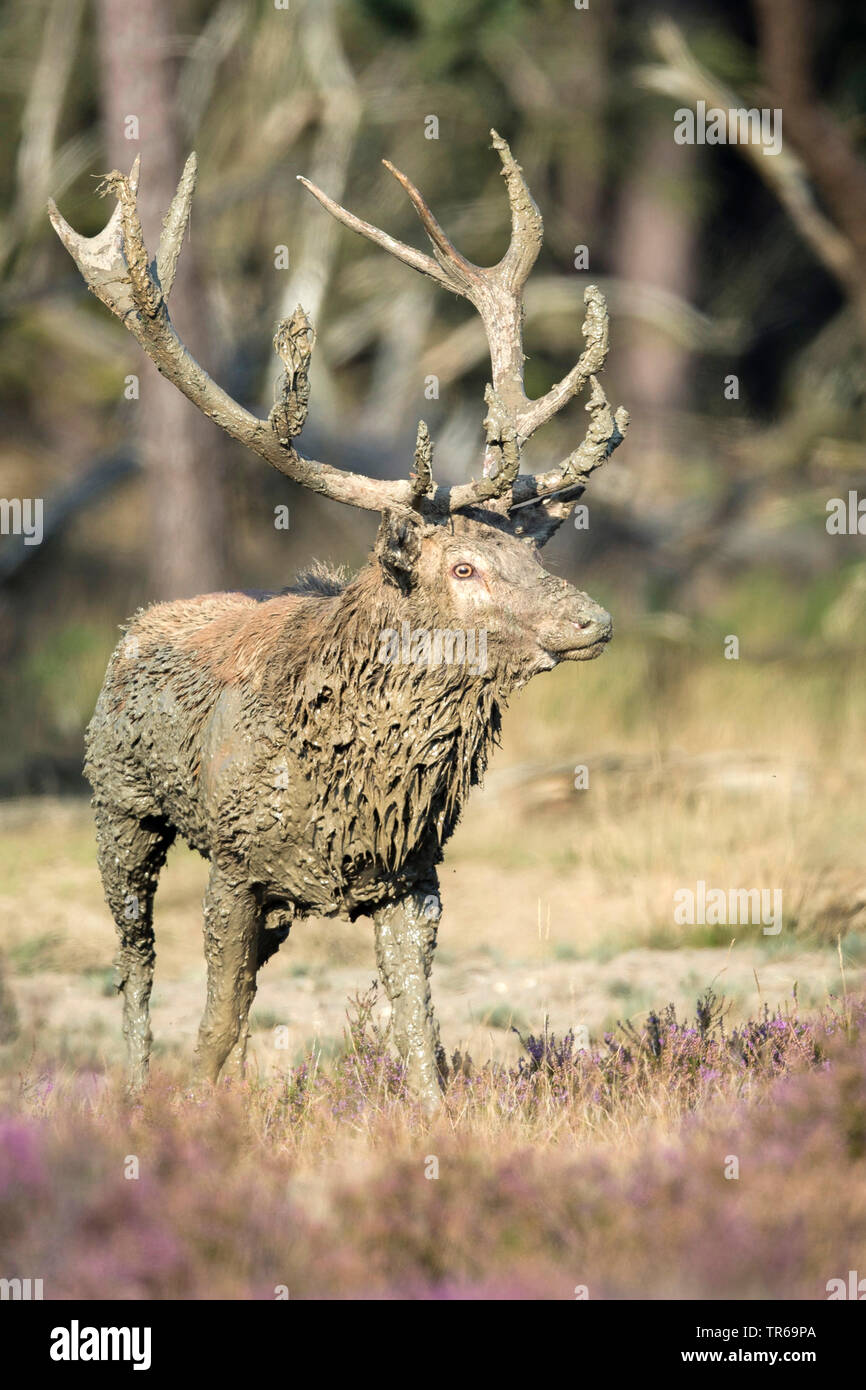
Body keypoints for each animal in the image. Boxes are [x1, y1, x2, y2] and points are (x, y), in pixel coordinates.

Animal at [48, 133, 628, 1112]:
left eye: (532, 553)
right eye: (463, 567)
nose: (593, 618)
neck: (349, 786)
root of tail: (136, 623)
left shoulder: (411, 875)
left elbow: (421, 1036)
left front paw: (434, 1119)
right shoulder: (235, 862)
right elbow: (216, 1026)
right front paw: (185, 1112)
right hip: (117, 801)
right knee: (133, 960)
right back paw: (130, 1087)